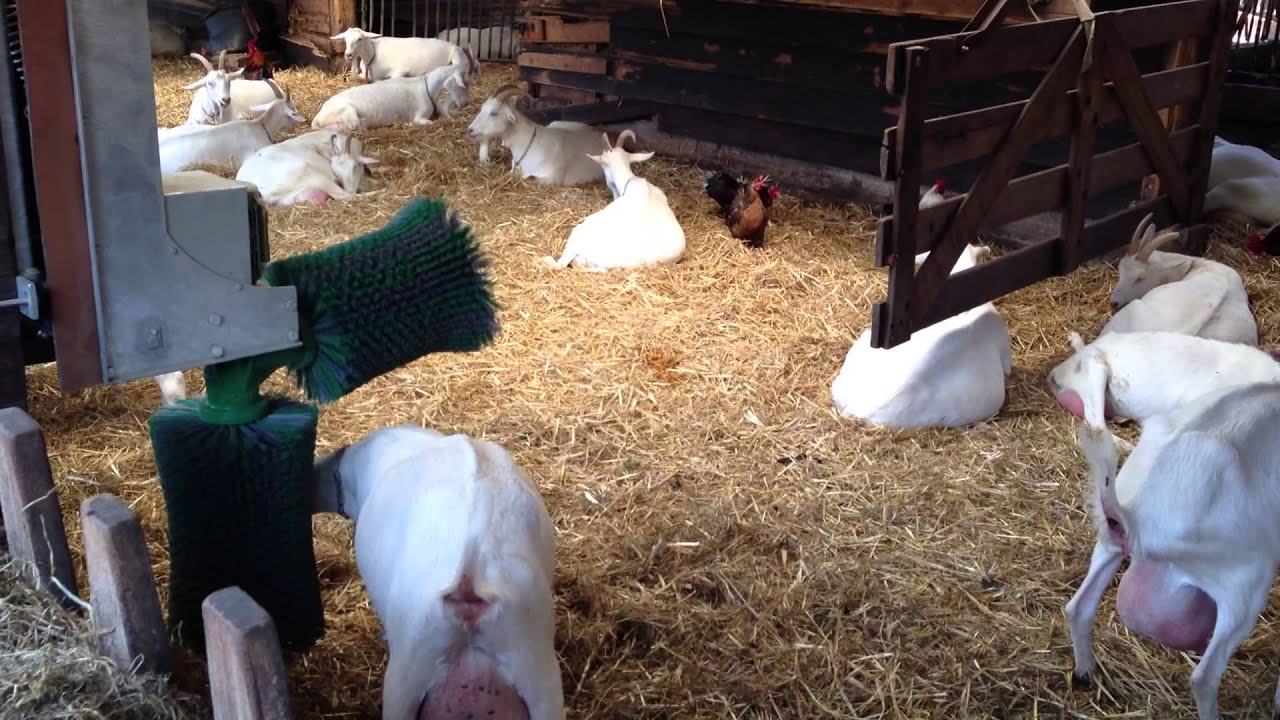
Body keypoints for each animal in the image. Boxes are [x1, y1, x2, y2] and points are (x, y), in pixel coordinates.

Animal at [1064, 381, 1280, 720]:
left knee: (1078, 607)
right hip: (1244, 583)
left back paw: (1085, 672)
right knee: (1204, 678)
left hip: (1108, 544)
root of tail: (1135, 516)